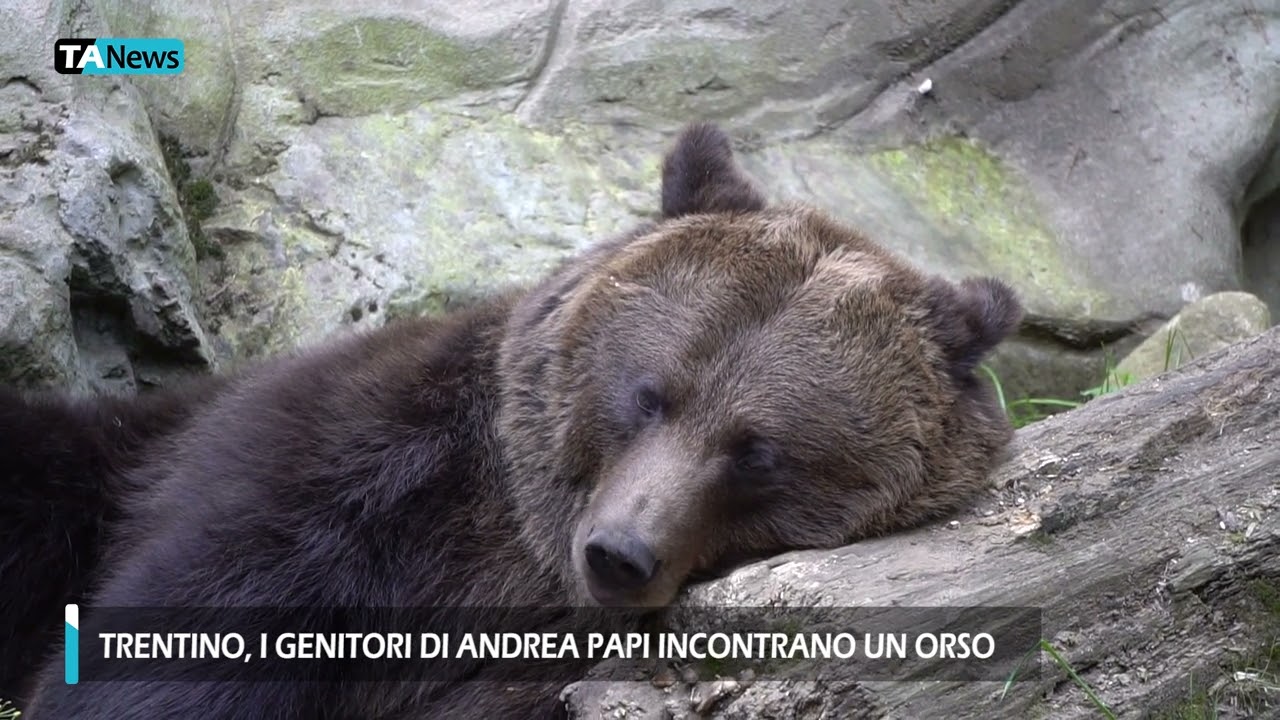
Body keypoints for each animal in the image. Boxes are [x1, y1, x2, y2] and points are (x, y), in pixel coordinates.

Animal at [0, 123, 1022, 719]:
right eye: (649, 393)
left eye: (757, 452)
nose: (618, 552)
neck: (514, 550)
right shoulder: (343, 469)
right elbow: (187, 634)